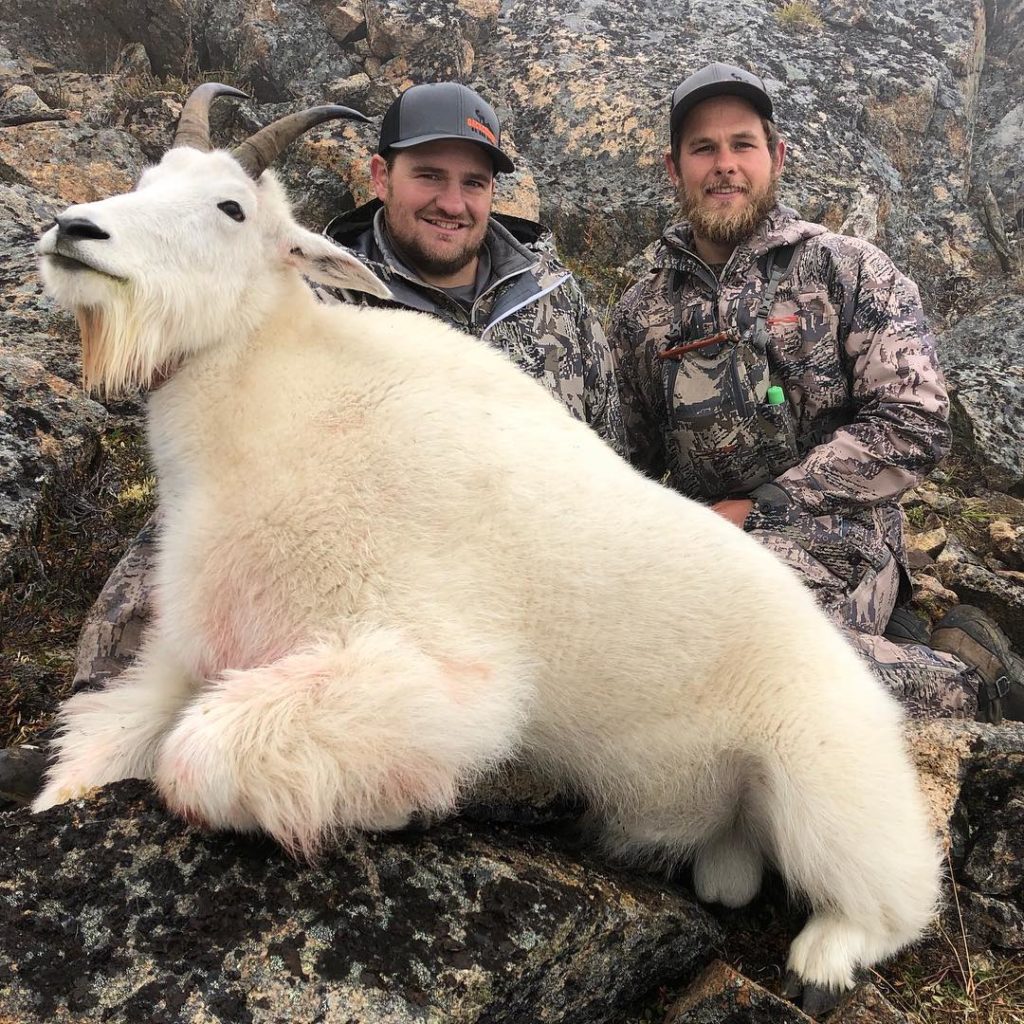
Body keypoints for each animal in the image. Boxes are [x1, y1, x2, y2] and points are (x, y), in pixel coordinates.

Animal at [34, 84, 941, 1000]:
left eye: (230, 207)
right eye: (148, 178)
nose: (74, 232)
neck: (275, 410)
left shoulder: (430, 666)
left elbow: (195, 755)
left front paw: (398, 802)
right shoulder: (189, 652)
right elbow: (103, 740)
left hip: (821, 775)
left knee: (895, 894)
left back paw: (824, 957)